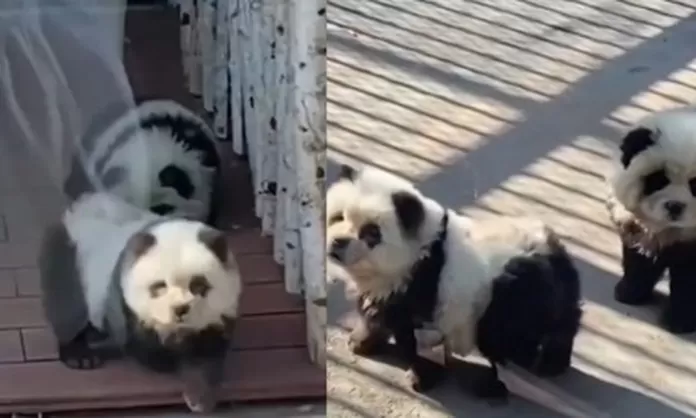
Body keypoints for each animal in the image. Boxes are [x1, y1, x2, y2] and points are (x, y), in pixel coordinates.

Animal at [39, 192, 242, 412]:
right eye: (160, 286)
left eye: (198, 285)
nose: (180, 310)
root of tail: (80, 206)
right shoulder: (124, 302)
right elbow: (145, 347)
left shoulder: (219, 314)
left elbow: (207, 353)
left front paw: (200, 398)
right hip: (71, 260)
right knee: (67, 307)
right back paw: (81, 355)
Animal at [327, 164, 582, 399]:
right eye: (338, 217)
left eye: (371, 233)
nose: (338, 242)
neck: (423, 249)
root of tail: (554, 253)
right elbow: (376, 312)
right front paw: (361, 341)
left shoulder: (422, 288)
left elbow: (413, 335)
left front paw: (422, 376)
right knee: (566, 322)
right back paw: (553, 362)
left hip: (510, 296)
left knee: (506, 338)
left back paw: (491, 384)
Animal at [606, 106, 696, 334]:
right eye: (658, 179)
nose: (675, 206)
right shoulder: (638, 223)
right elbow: (639, 259)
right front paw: (628, 292)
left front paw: (679, 321)